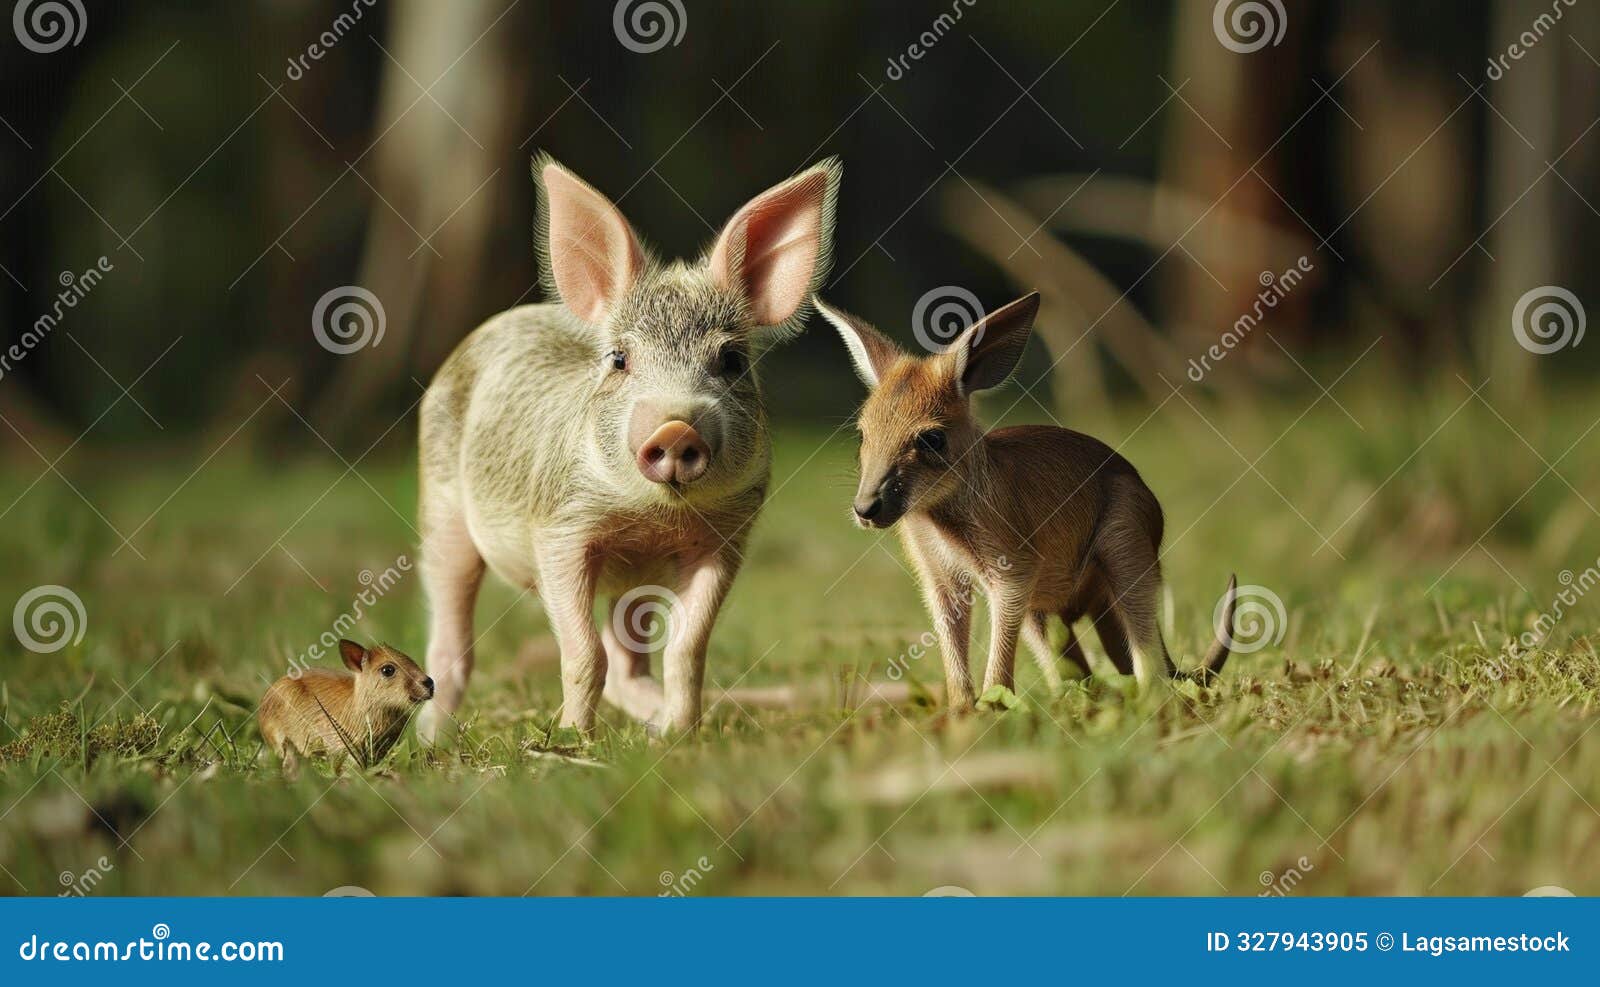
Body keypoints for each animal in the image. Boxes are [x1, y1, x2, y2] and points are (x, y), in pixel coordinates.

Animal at [416, 154, 840, 741]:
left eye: (731, 360)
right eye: (619, 359)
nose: (675, 429)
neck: (649, 521)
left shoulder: (724, 539)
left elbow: (686, 649)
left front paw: (681, 736)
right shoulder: (560, 529)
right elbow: (583, 652)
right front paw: (573, 739)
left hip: (631, 584)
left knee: (627, 667)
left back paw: (654, 724)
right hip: (442, 510)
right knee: (451, 634)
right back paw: (428, 740)